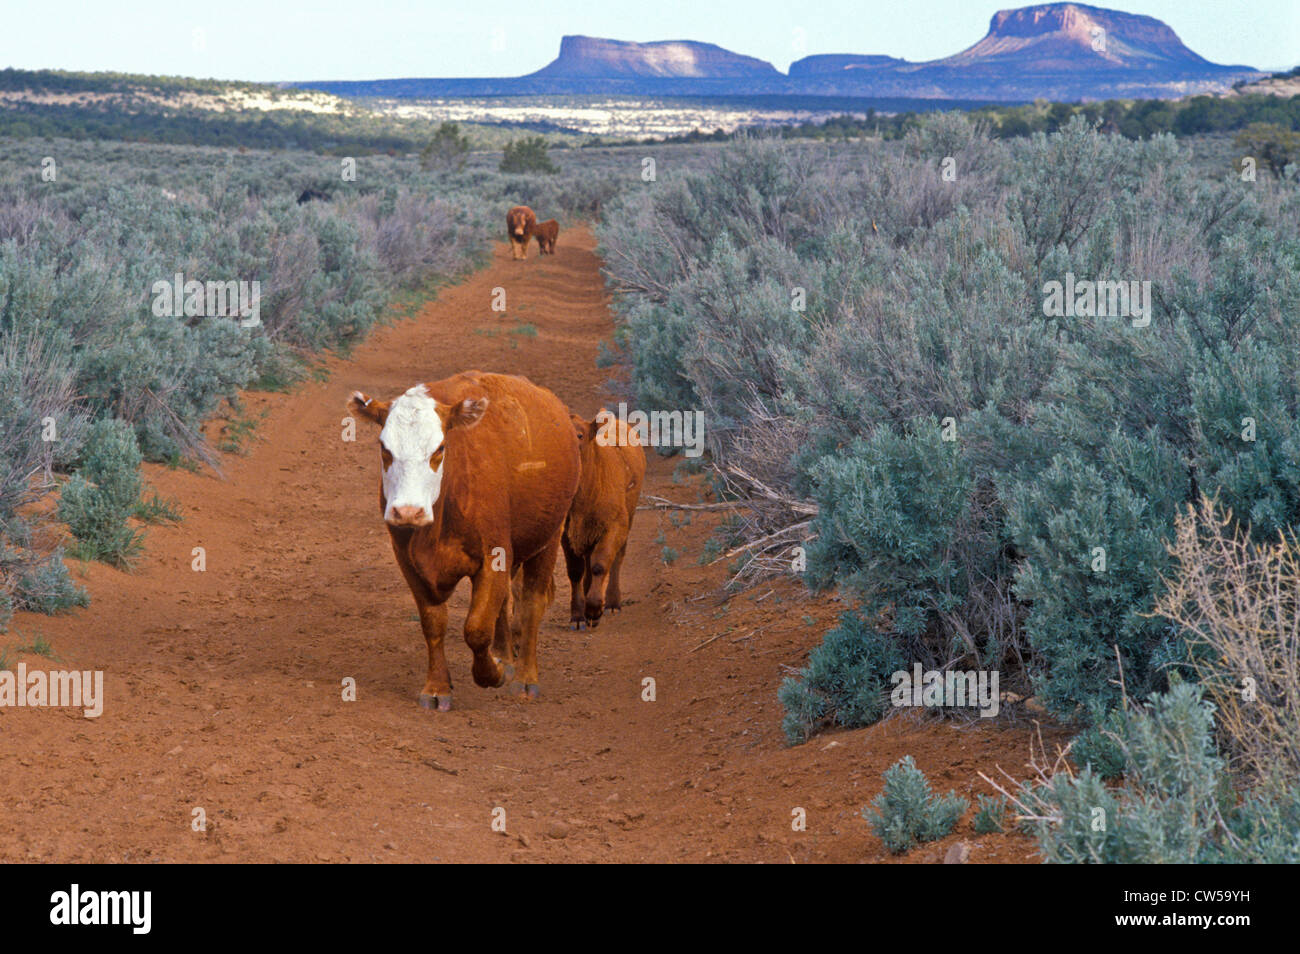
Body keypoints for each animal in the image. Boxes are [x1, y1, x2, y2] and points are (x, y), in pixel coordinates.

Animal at [347, 371, 580, 710]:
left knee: (531, 604)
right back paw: (505, 657)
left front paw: (491, 674)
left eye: (440, 448)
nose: (408, 511)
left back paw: (524, 677)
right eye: (384, 449)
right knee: (506, 602)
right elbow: (433, 623)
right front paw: (437, 687)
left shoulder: (494, 556)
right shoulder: (407, 559)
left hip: (549, 538)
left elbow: (477, 628)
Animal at [562, 409, 647, 629]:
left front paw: (593, 610)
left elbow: (600, 565)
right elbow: (575, 571)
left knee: (617, 558)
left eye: (580, 435)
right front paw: (578, 615)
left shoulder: (614, 525)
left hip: (627, 519)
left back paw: (612, 602)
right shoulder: (567, 533)